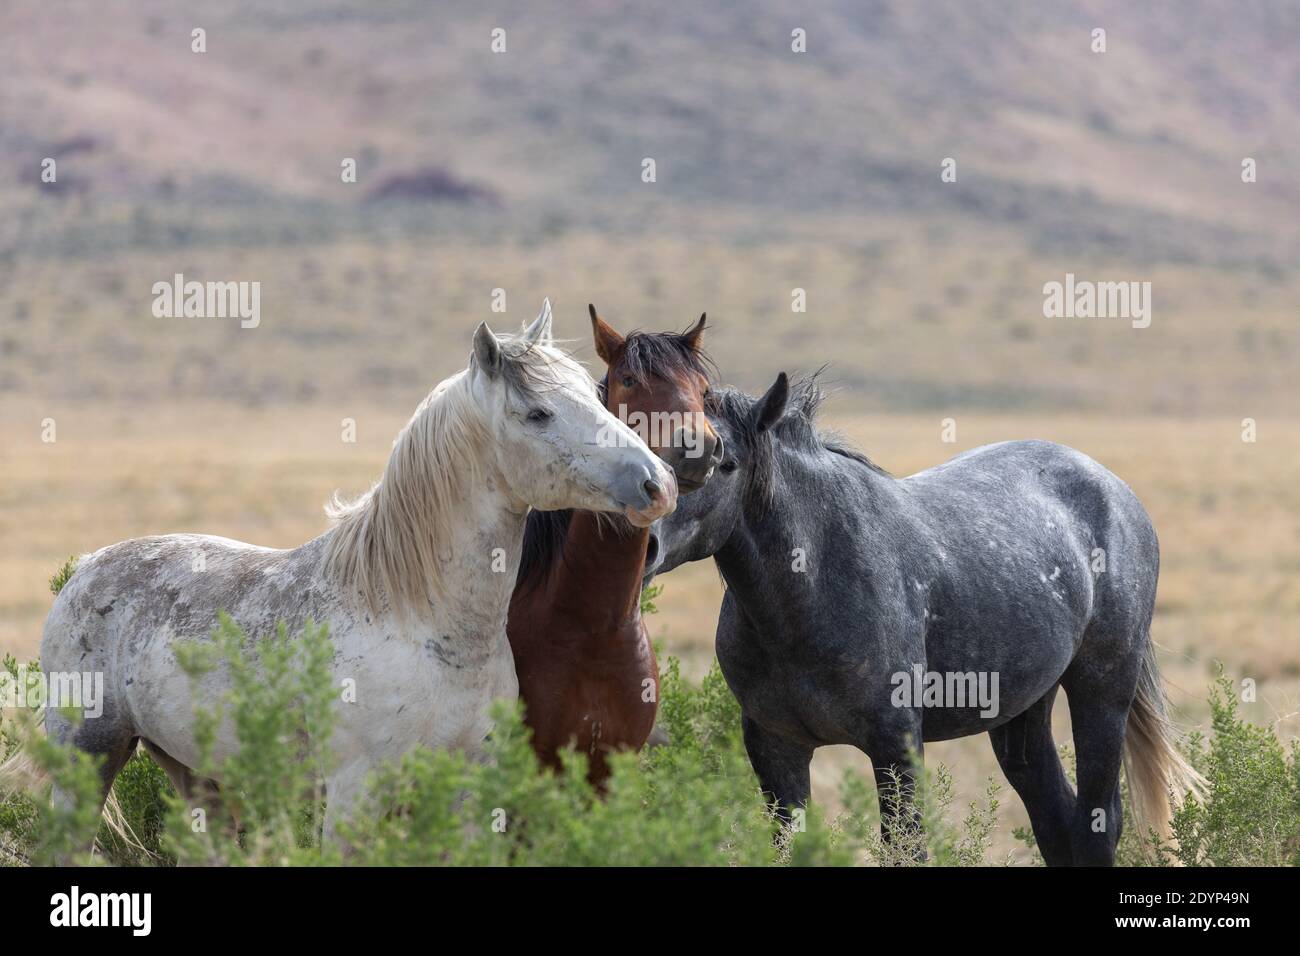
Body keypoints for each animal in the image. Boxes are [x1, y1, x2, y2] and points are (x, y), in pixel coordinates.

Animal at [1, 302, 678, 841]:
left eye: (596, 395)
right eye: (538, 413)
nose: (658, 483)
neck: (422, 623)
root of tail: (85, 570)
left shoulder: (471, 793)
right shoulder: (356, 795)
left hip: (196, 775)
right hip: (88, 758)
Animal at [643, 372, 1202, 865]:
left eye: (725, 462)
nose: (644, 541)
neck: (807, 594)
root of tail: (1112, 488)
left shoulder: (896, 746)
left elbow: (907, 849)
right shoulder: (776, 749)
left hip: (1102, 690)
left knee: (1097, 824)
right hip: (1023, 713)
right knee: (1055, 818)